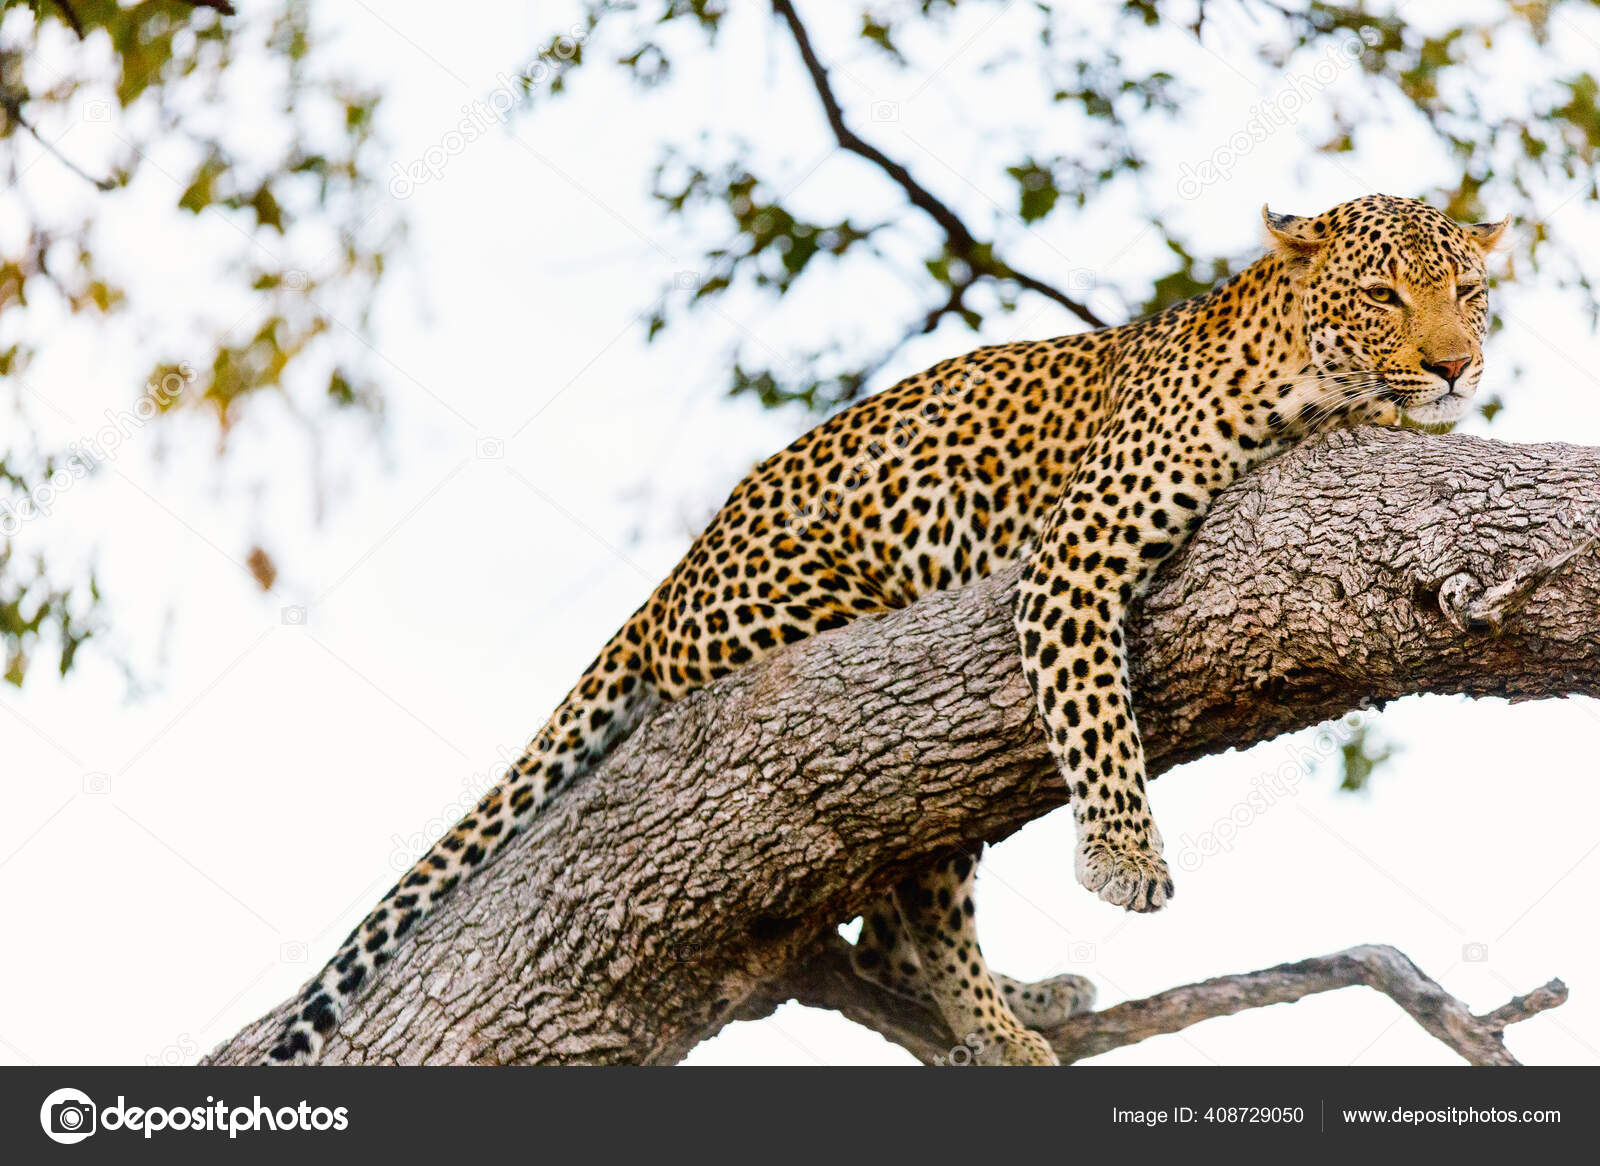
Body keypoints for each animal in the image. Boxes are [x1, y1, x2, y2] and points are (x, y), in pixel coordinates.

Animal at [265, 194, 1506, 1066]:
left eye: (1469, 291)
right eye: (1382, 295)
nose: (1456, 364)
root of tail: (660, 593)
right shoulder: (1069, 564)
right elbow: (1096, 715)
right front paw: (1123, 857)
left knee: (900, 909)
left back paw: (1016, 1003)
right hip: (832, 628)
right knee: (912, 893)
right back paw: (997, 1021)